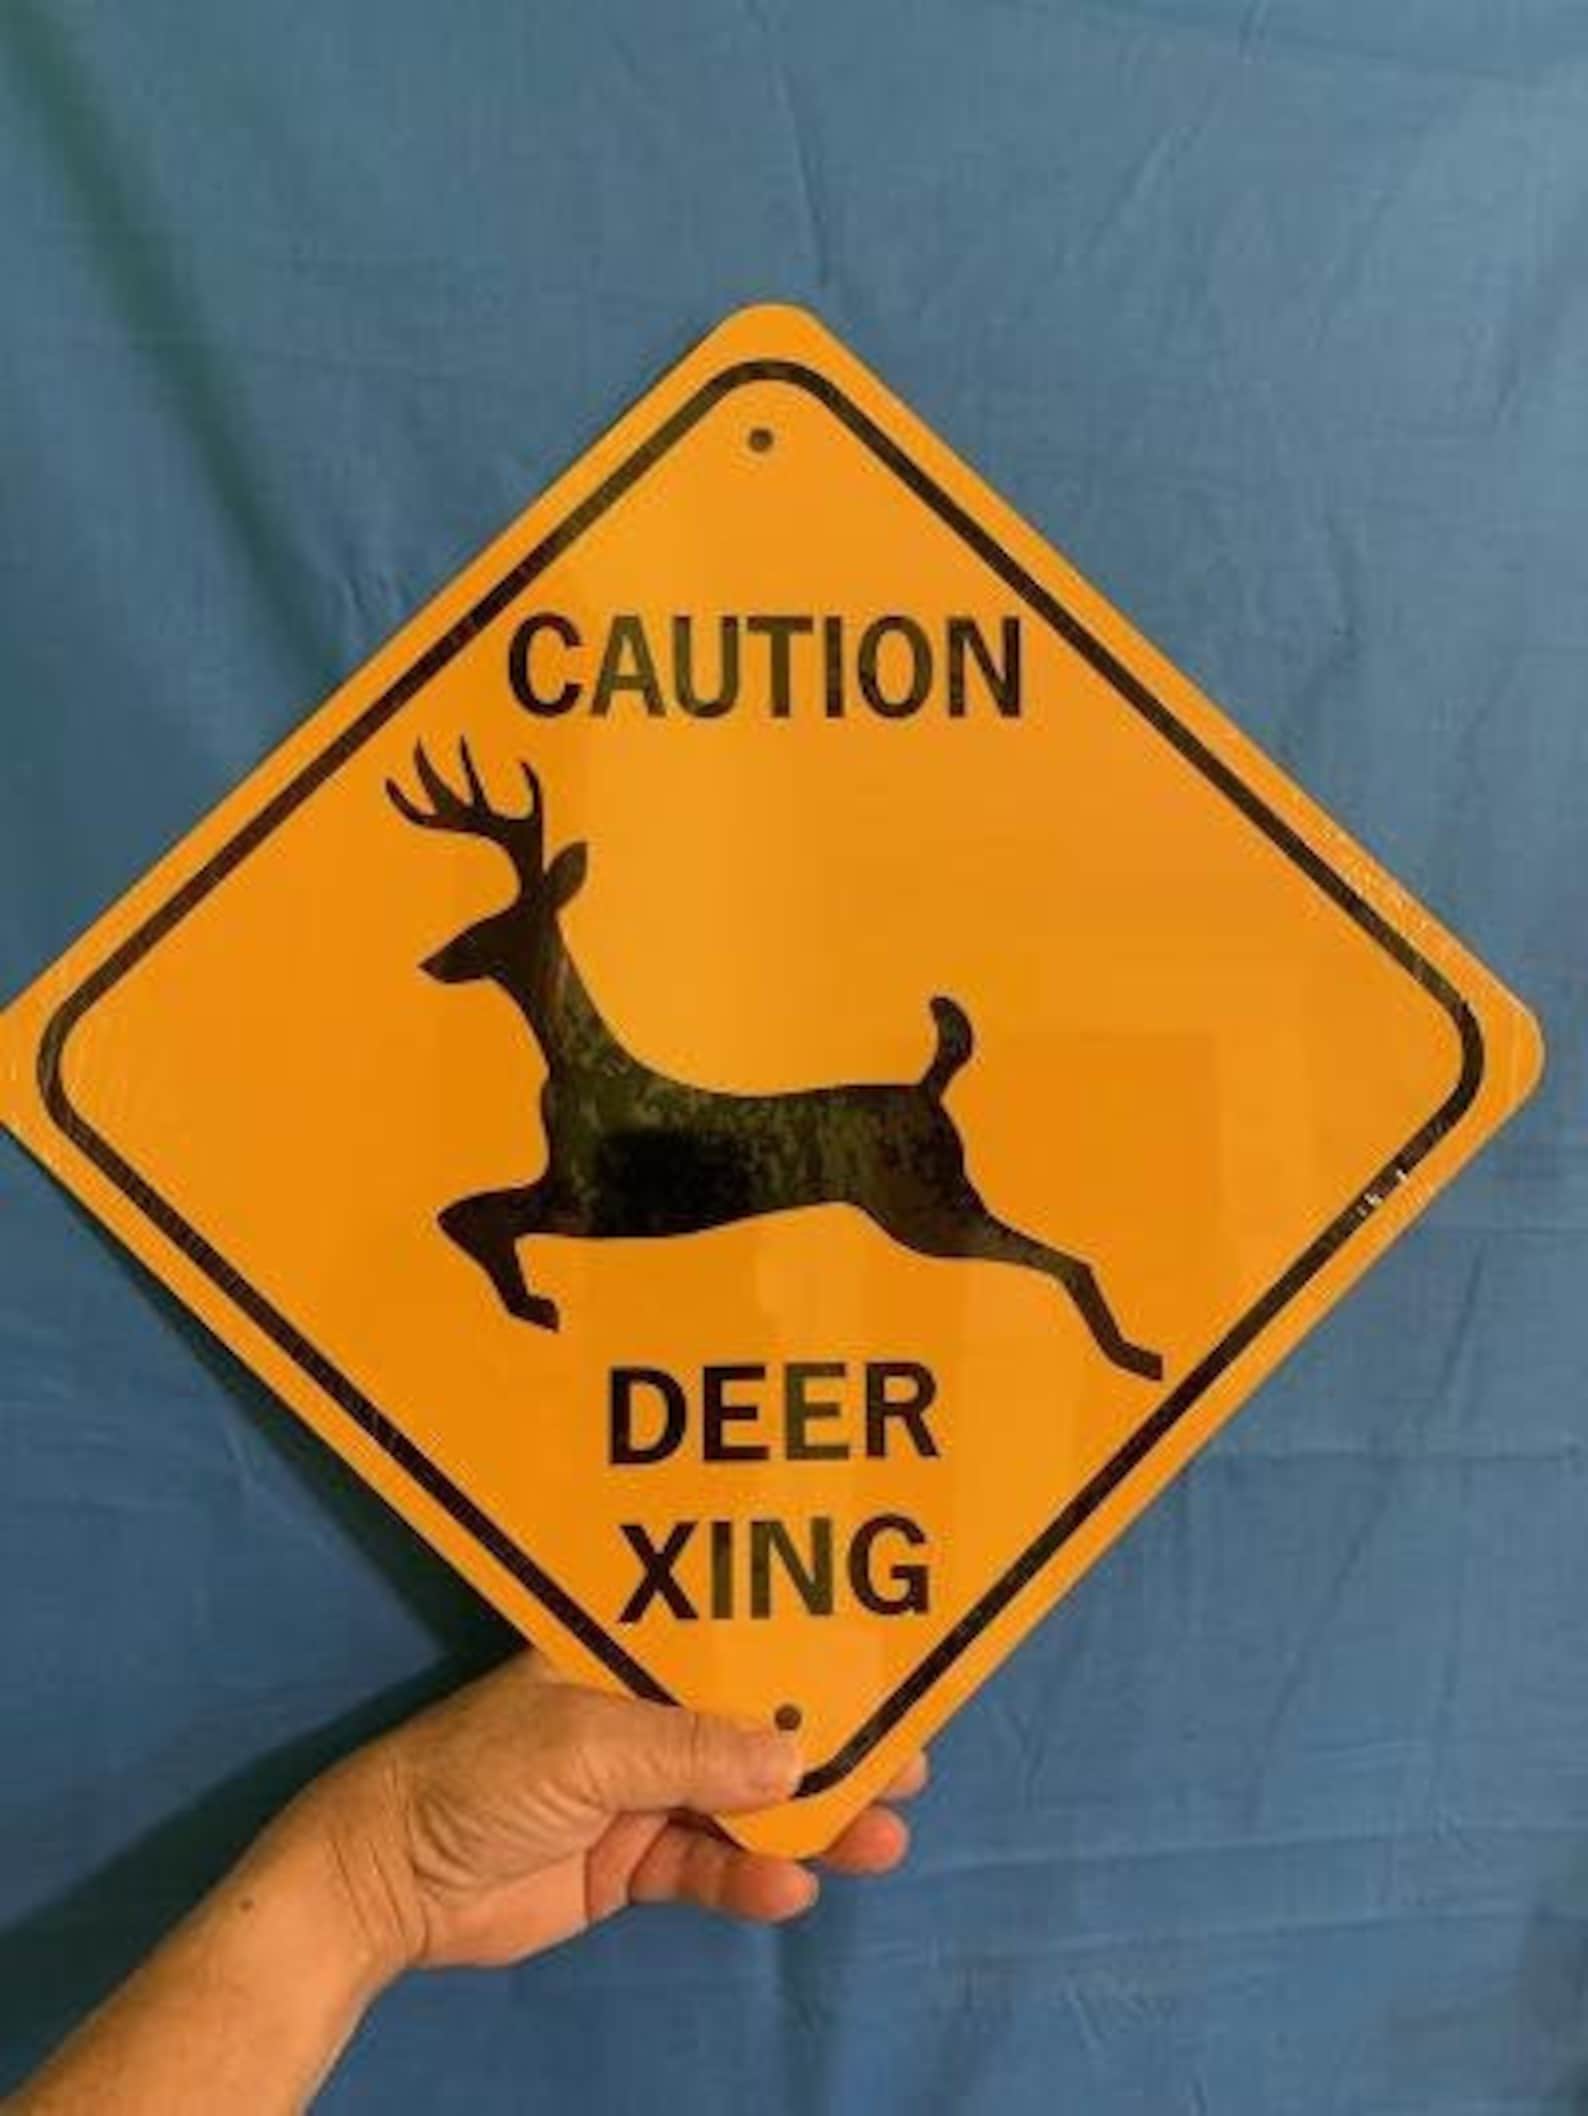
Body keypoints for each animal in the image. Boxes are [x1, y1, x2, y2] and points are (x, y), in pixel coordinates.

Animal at [388, 742, 1163, 1382]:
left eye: (492, 925)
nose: (433, 959)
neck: (576, 1059)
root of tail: (929, 1088)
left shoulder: (588, 1199)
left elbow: (470, 1215)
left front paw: (533, 1303)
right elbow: (464, 1213)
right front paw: (529, 1302)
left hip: (931, 1206)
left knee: (1066, 1260)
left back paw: (1134, 1355)